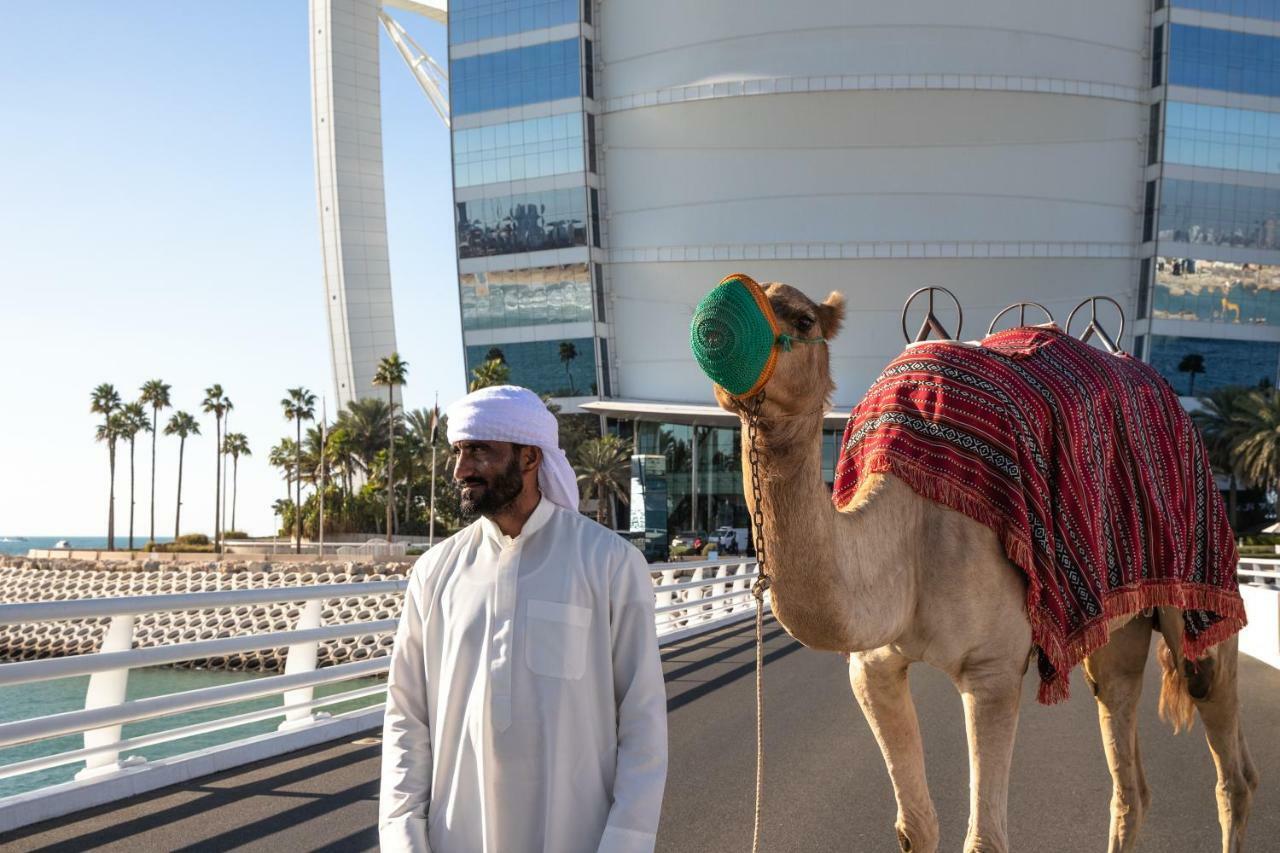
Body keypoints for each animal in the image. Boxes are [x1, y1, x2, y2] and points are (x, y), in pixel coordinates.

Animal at [711, 280, 1259, 850]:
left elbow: (985, 838)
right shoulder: (872, 666)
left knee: (1228, 757)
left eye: (802, 318)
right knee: (1129, 774)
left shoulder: (992, 670)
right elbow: (915, 827)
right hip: (1118, 630)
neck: (909, 531)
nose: (717, 322)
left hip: (1203, 580)